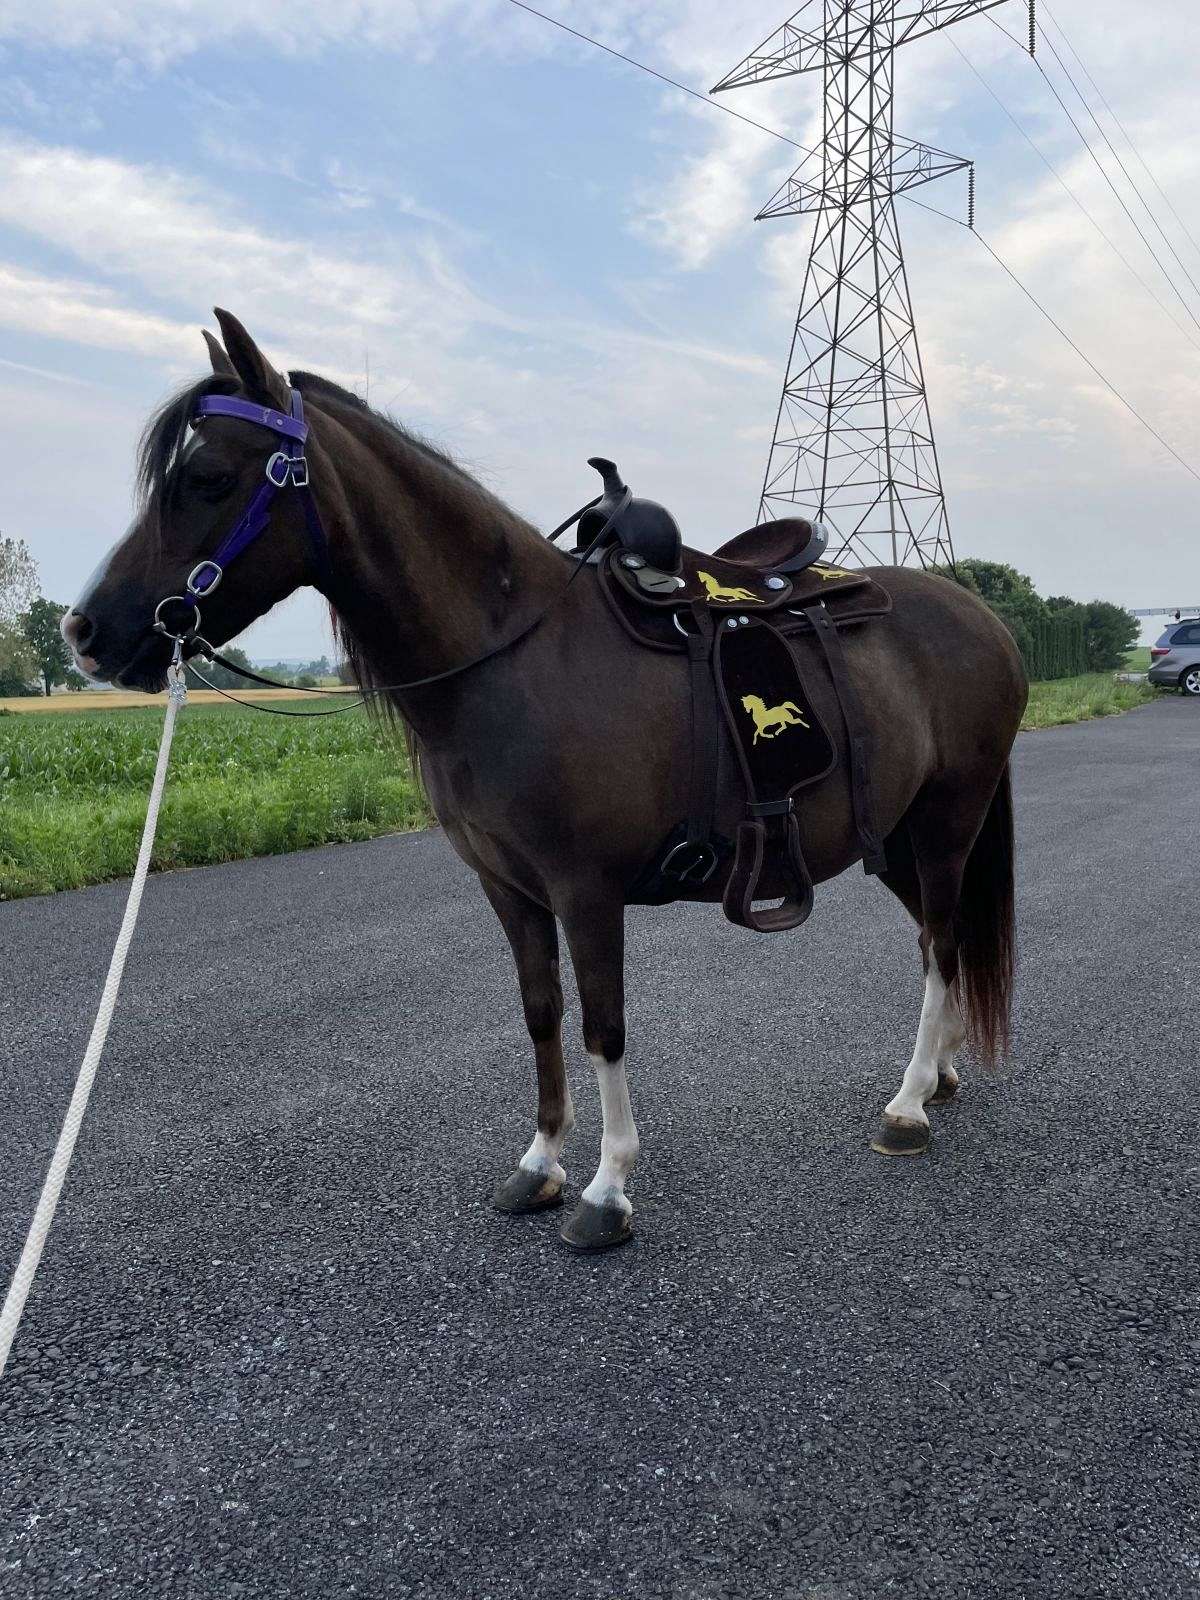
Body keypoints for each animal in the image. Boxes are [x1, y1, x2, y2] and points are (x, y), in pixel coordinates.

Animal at [62, 310, 1028, 1253]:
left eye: (211, 478)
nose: (86, 633)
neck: (512, 655)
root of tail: (982, 615)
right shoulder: (510, 888)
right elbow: (541, 1013)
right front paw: (541, 1164)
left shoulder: (584, 889)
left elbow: (604, 1025)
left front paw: (606, 1189)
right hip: (897, 839)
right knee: (933, 943)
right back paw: (939, 1075)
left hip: (947, 825)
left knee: (942, 943)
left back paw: (908, 1103)